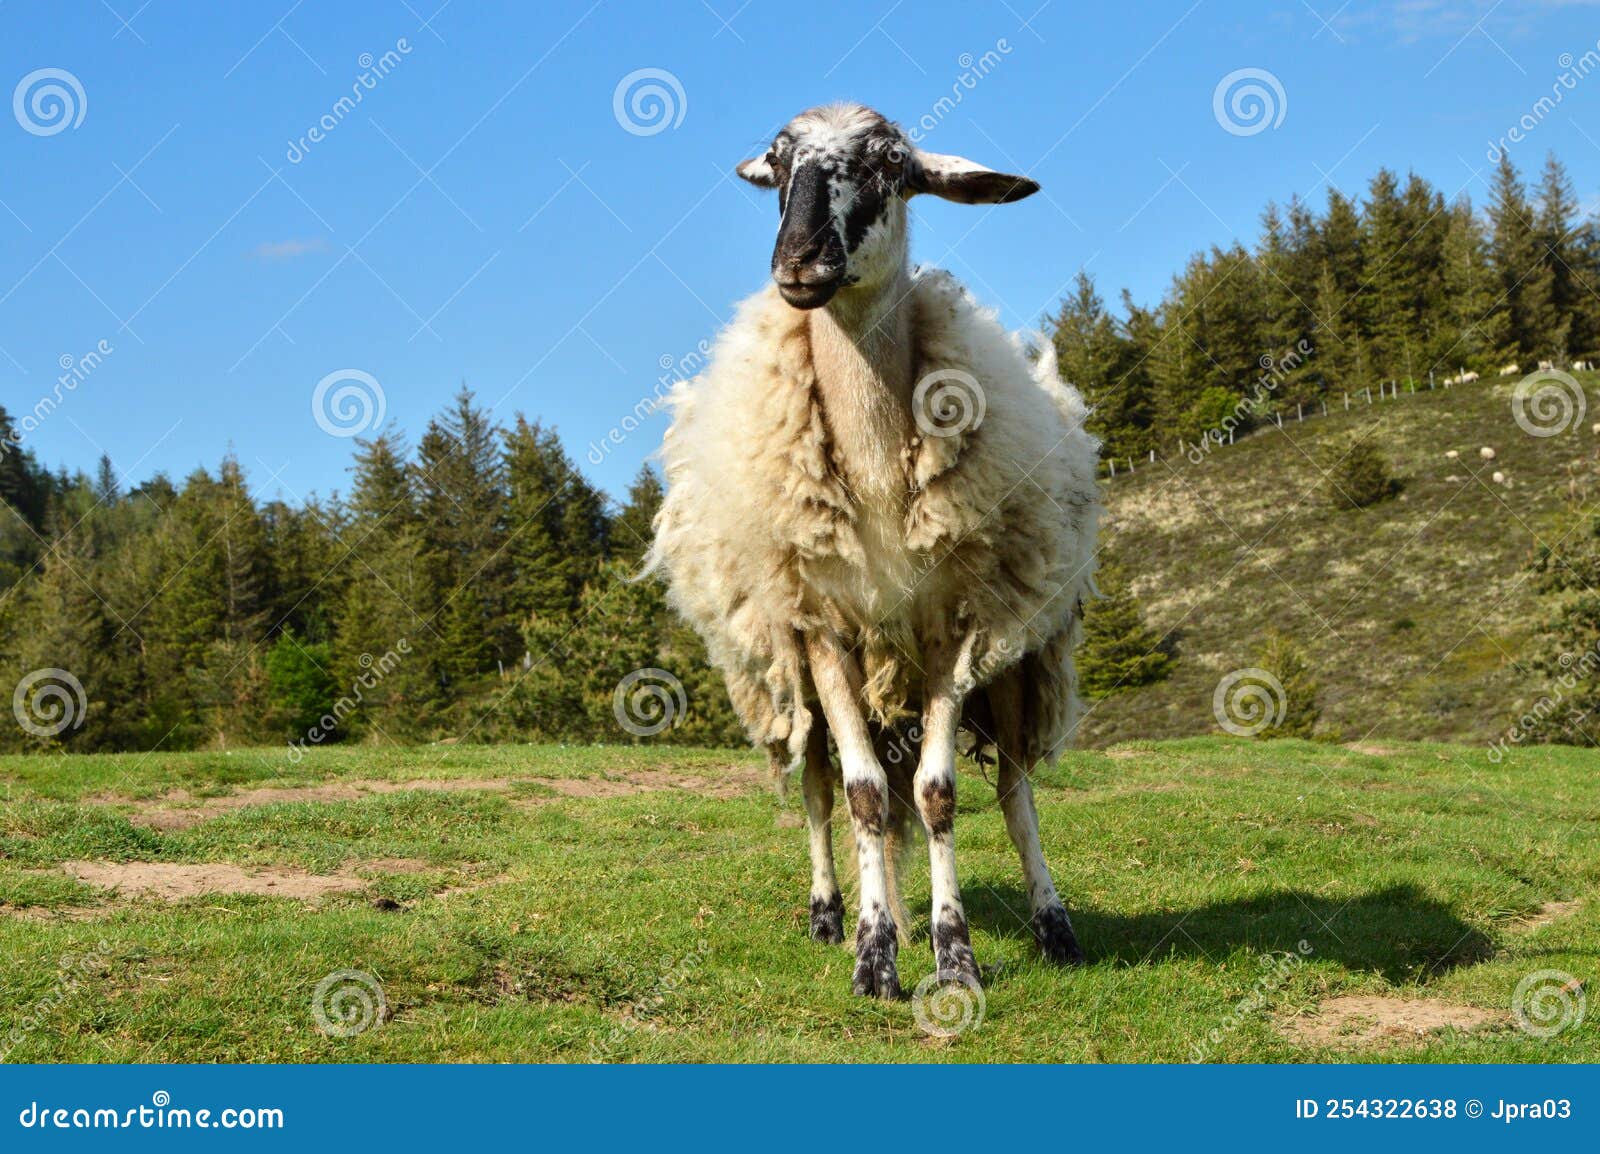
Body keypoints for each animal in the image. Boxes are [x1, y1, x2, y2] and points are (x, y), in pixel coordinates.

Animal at [648, 103, 1099, 998]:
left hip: (1012, 659)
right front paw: (874, 955)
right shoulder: (821, 626)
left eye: (891, 162)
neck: (877, 467)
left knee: (1012, 789)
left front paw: (953, 956)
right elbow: (861, 796)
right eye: (779, 164)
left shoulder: (958, 627)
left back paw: (1050, 924)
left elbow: (938, 794)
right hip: (804, 674)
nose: (798, 264)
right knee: (827, 792)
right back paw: (834, 912)